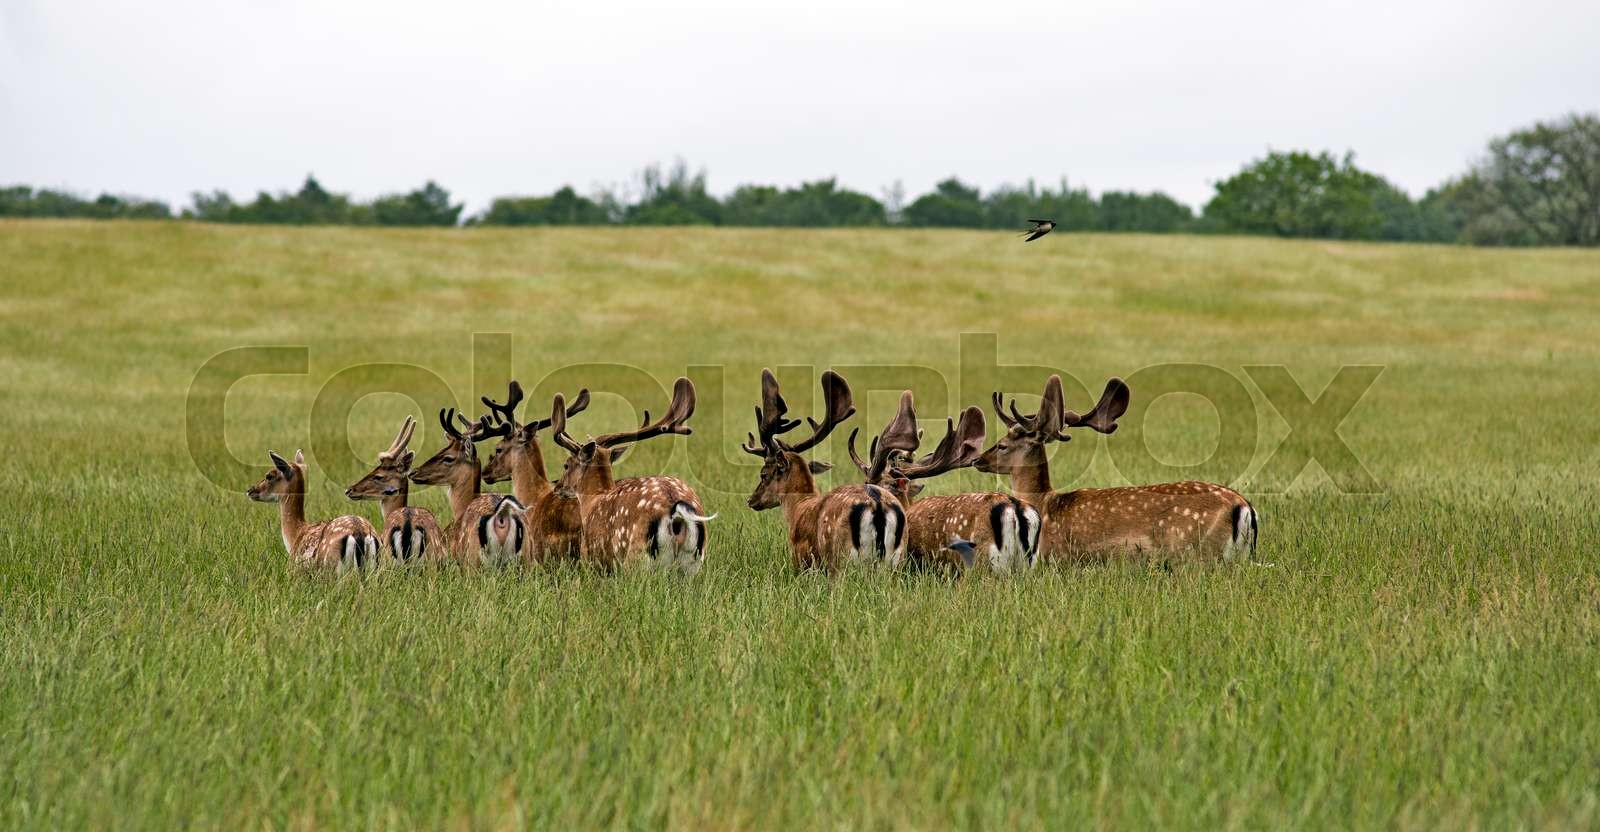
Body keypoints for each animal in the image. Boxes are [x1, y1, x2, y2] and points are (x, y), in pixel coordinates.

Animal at [549, 377, 715, 574]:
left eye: (566, 465)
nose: (557, 486)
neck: (593, 500)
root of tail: (676, 511)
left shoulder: (590, 559)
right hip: (693, 562)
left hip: (636, 558)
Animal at [741, 369, 909, 571]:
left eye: (763, 474)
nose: (751, 500)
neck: (799, 507)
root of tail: (878, 506)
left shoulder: (801, 560)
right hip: (897, 559)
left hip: (843, 558)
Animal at [974, 374, 1258, 564]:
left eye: (1002, 445)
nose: (978, 460)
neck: (1043, 504)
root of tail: (1244, 507)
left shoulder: (1060, 559)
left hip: (1196, 553)